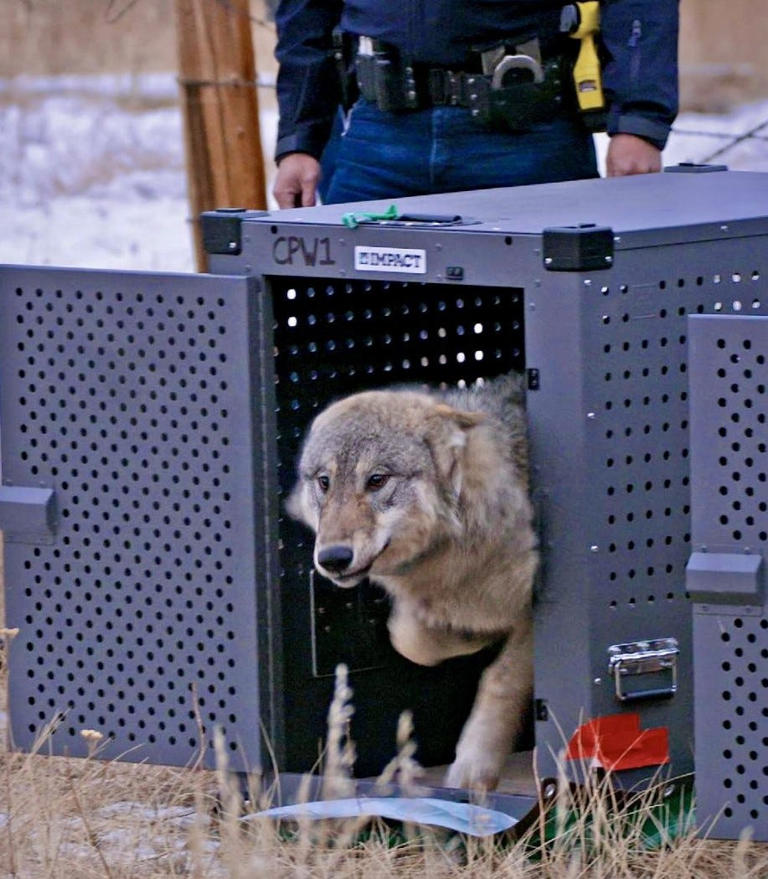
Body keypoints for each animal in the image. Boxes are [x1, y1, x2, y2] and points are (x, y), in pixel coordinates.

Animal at [287, 373, 538, 790]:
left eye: (376, 480)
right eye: (324, 482)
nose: (333, 558)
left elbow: (500, 679)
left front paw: (475, 765)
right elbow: (410, 639)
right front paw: (470, 633)